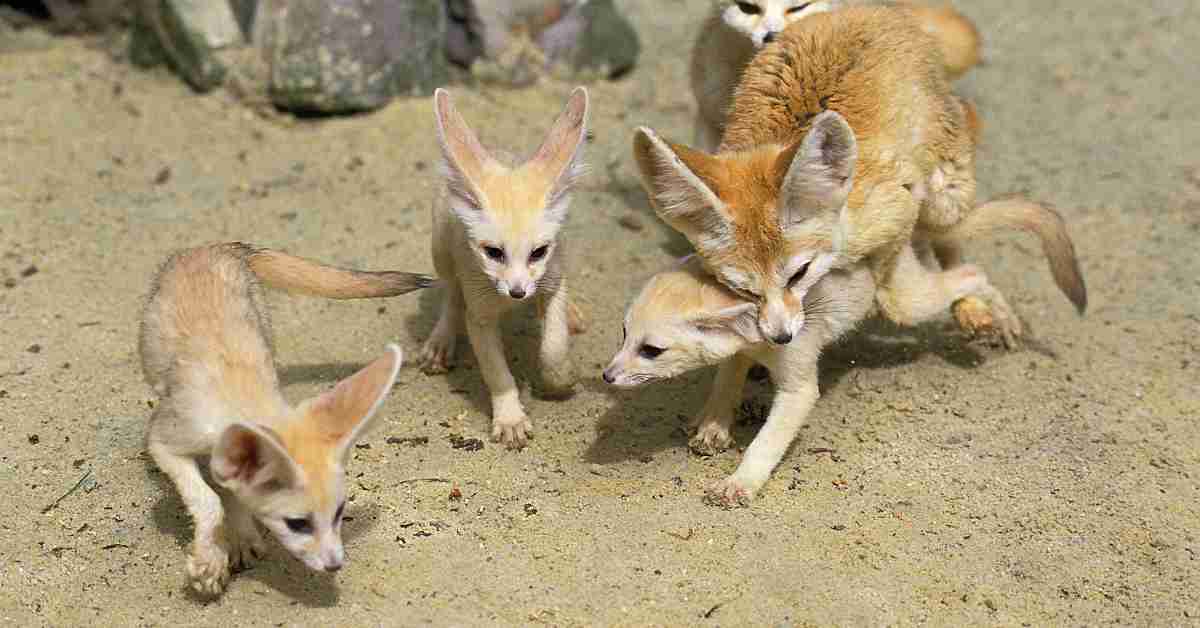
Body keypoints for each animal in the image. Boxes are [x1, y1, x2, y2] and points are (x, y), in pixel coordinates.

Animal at [138, 242, 428, 595]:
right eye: (298, 524)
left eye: (339, 513)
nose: (336, 565)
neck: (243, 398)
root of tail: (216, 247)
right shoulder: (165, 441)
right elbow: (208, 500)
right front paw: (209, 561)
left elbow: (234, 496)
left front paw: (240, 537)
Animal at [420, 87, 590, 449]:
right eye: (493, 253)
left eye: (538, 252)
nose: (517, 292)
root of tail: (497, 152)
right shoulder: (480, 317)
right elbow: (497, 373)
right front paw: (510, 417)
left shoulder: (552, 280)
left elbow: (553, 346)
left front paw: (562, 378)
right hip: (441, 251)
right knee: (452, 293)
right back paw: (441, 339)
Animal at [602, 255, 877, 506]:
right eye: (624, 333)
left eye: (651, 350)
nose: (607, 376)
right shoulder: (737, 351)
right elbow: (725, 384)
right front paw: (713, 427)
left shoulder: (798, 387)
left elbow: (767, 441)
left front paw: (740, 482)